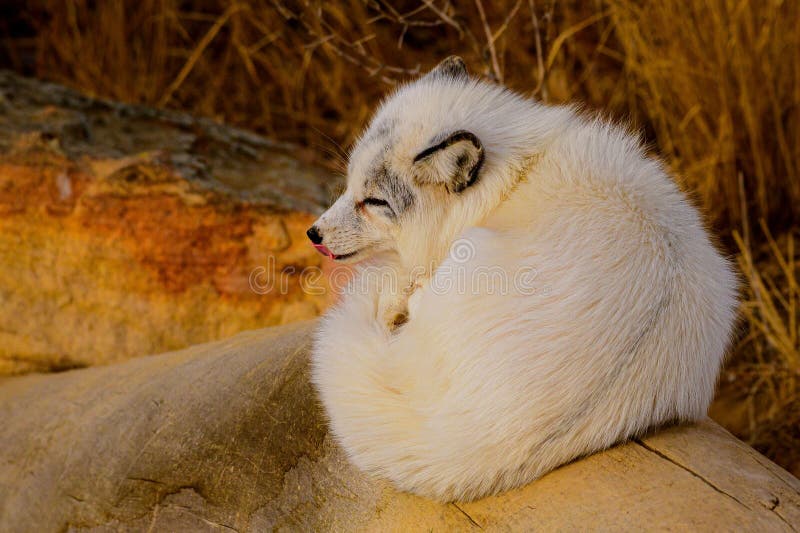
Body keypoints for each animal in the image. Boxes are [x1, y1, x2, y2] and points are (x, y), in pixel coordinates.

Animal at [307, 56, 738, 502]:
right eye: (349, 186)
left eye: (375, 201)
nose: (313, 234)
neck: (517, 176)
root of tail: (476, 440)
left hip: (469, 250)